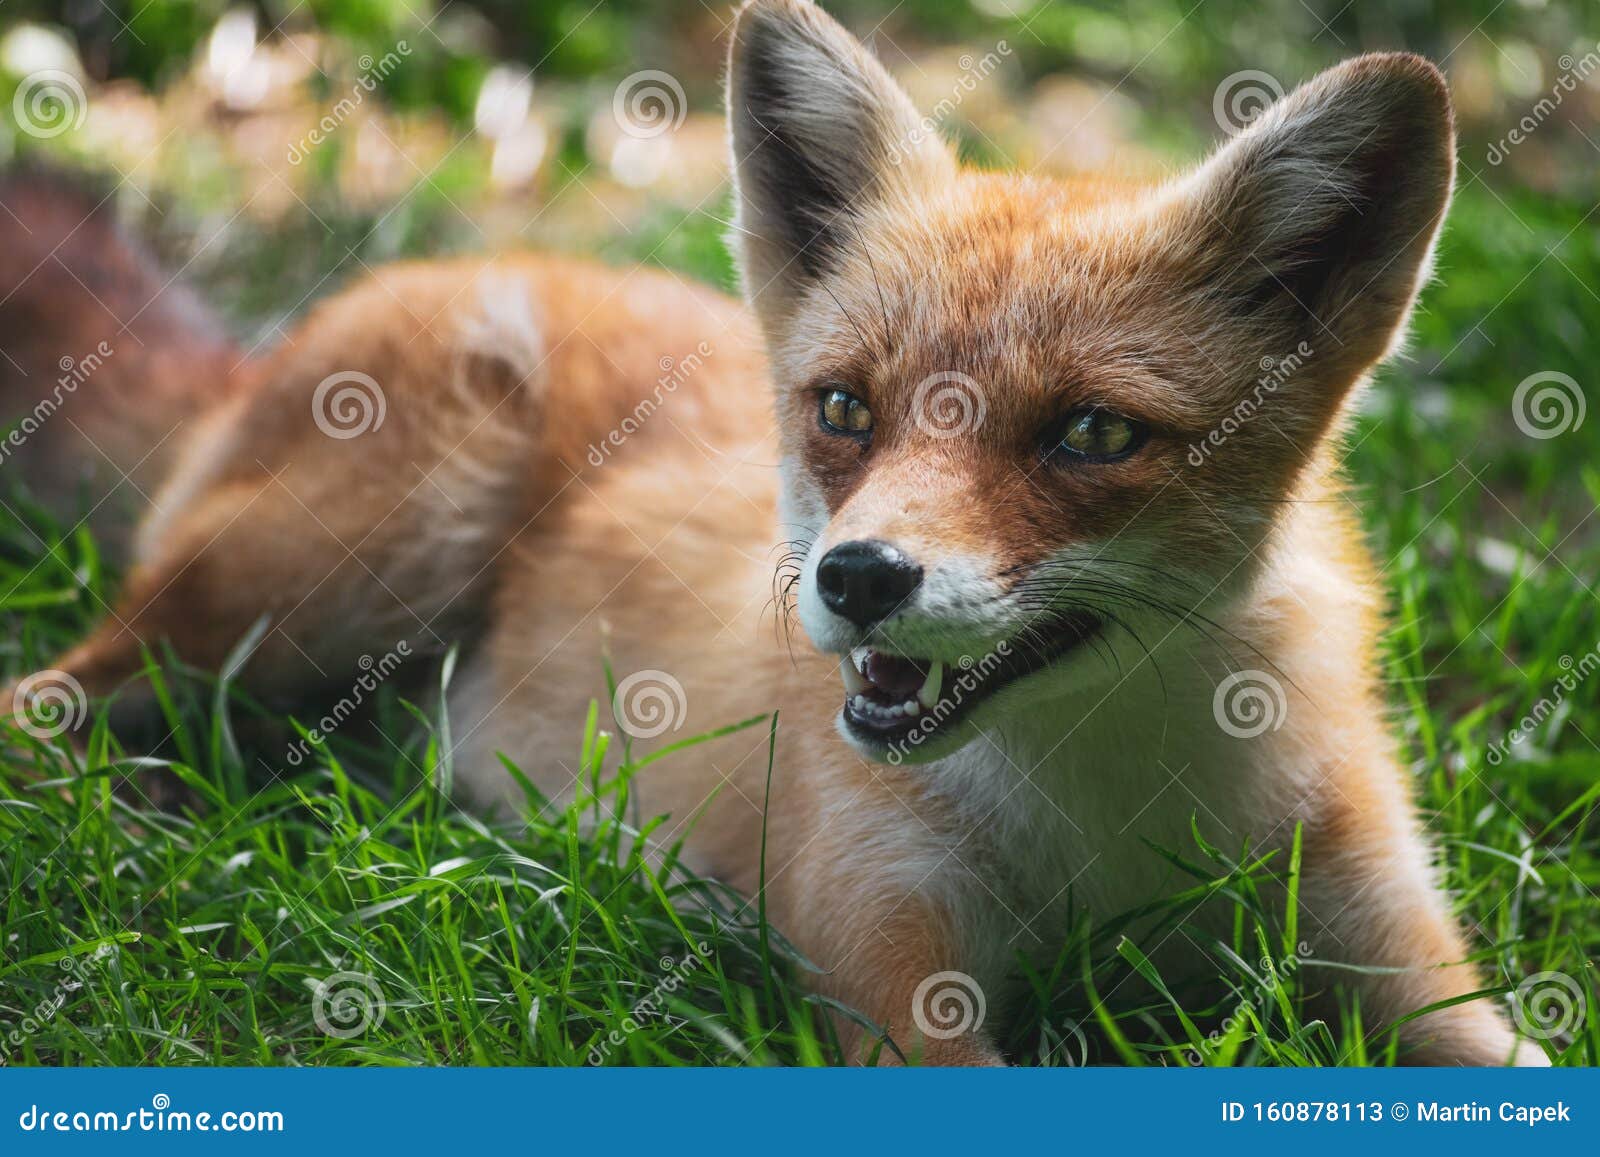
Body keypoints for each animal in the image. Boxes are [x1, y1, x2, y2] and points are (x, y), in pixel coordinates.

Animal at [0, 0, 1548, 1066]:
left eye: (1093, 436)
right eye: (846, 407)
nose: (858, 578)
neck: (1105, 821)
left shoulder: (1407, 953)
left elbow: (1509, 1046)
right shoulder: (889, 968)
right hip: (338, 566)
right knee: (45, 699)